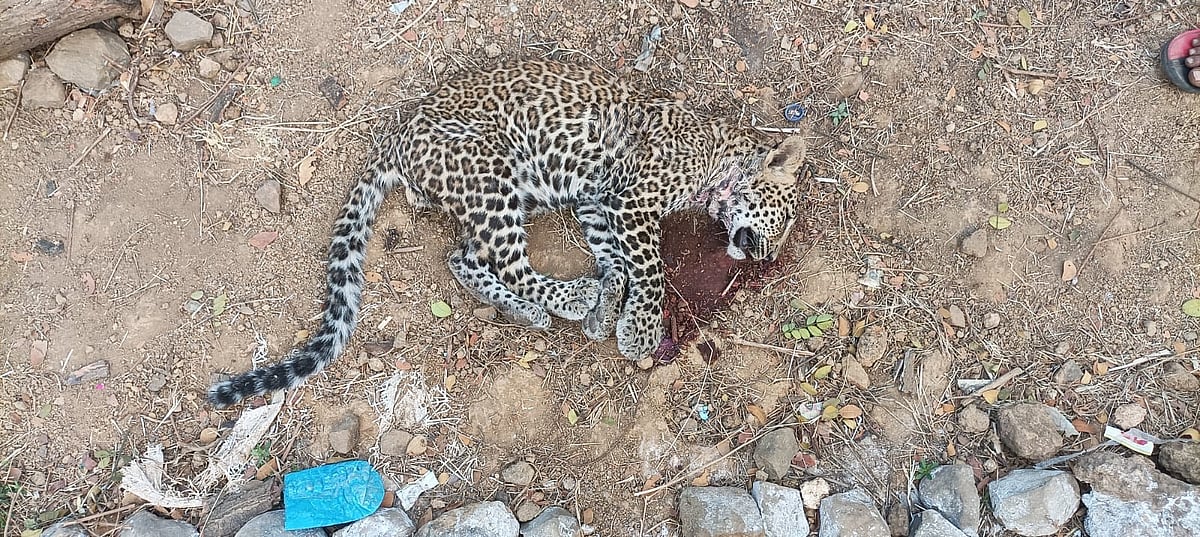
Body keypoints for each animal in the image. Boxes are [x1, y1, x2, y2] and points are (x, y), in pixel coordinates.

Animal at [207, 60, 805, 407]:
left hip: (509, 193)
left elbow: (616, 258)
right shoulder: (633, 201)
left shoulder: (597, 201)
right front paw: (636, 328)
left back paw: (539, 309)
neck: (722, 163)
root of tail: (397, 138)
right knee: (503, 262)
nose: (765, 258)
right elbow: (651, 268)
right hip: (490, 175)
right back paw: (569, 298)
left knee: (464, 258)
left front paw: (609, 306)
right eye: (785, 218)